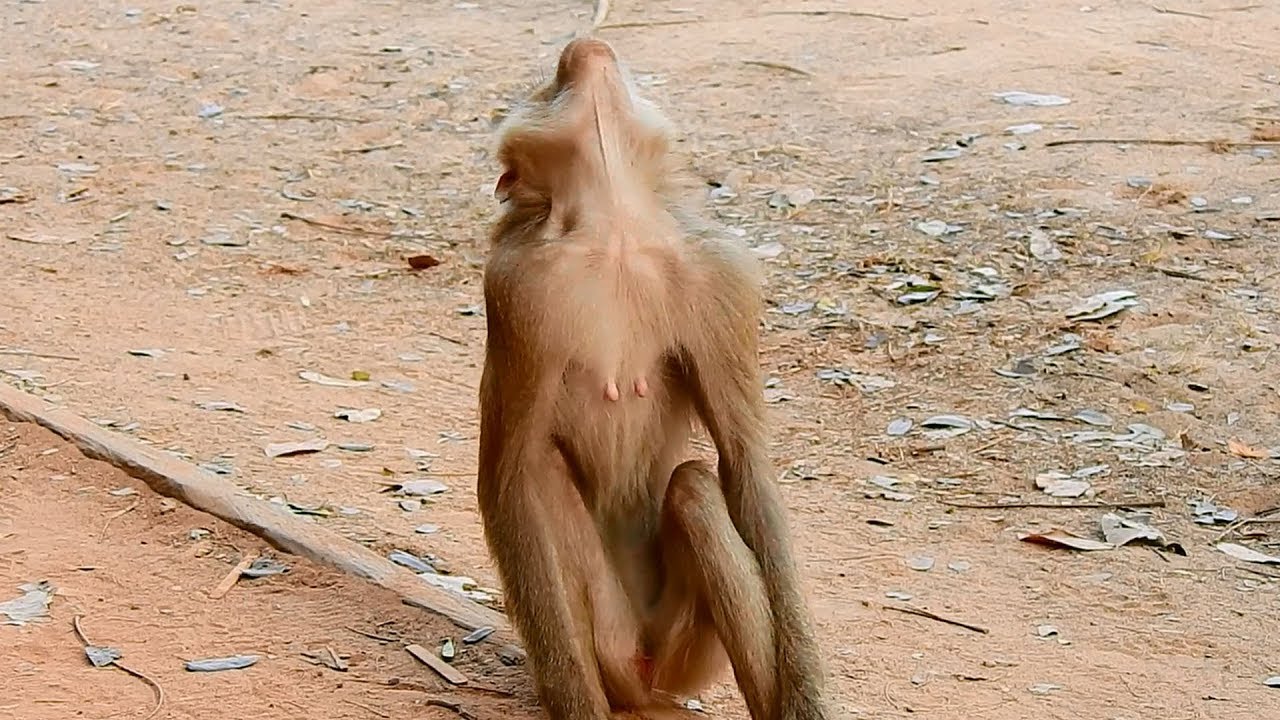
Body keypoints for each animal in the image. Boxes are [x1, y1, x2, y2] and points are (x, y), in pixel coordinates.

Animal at [476, 38, 831, 720]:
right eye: (546, 86)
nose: (582, 47)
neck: (615, 229)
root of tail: (645, 678)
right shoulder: (518, 291)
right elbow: (511, 477)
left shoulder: (723, 275)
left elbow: (745, 464)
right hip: (614, 643)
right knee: (547, 474)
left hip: (686, 655)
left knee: (694, 489)